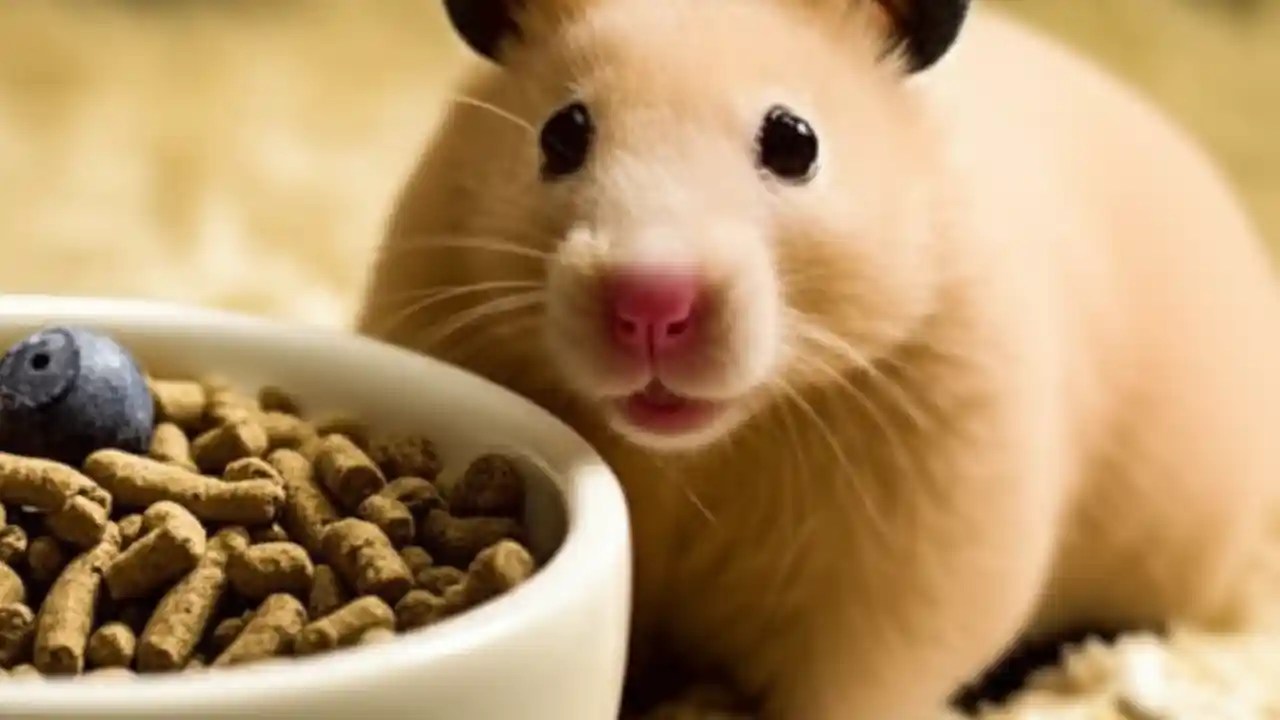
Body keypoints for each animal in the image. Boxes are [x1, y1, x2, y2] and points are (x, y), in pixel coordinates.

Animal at [356, 0, 1280, 718]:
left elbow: (848, 687)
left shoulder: (911, 574)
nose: (651, 305)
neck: (691, 455)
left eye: (794, 142)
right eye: (561, 132)